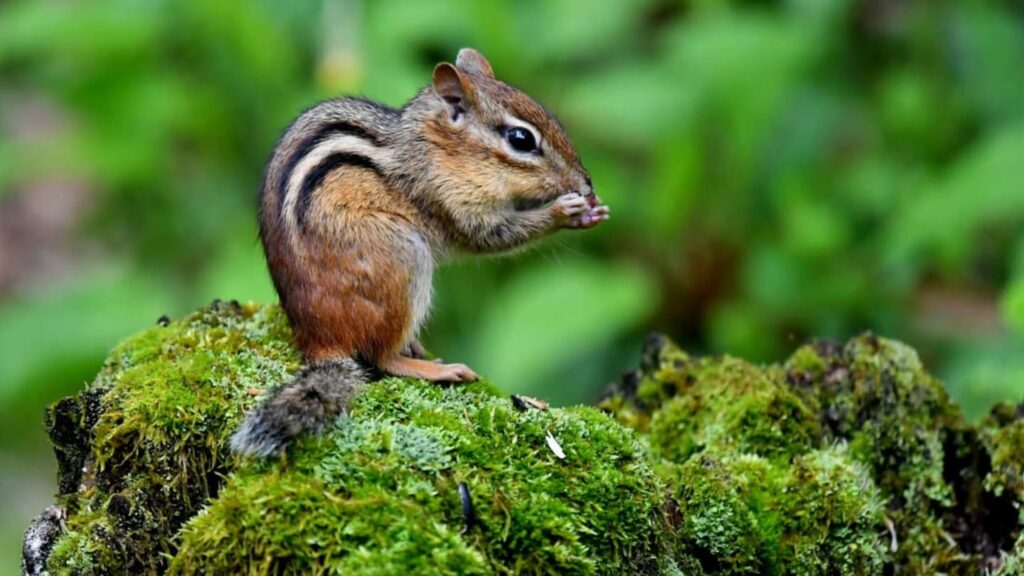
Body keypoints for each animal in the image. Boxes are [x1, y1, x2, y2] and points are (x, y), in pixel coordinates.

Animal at [230, 48, 608, 457]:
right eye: (521, 139)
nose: (586, 184)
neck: (439, 148)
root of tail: (320, 341)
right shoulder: (445, 199)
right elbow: (487, 237)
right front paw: (565, 212)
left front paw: (591, 211)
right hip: (405, 251)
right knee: (381, 358)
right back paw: (437, 369)